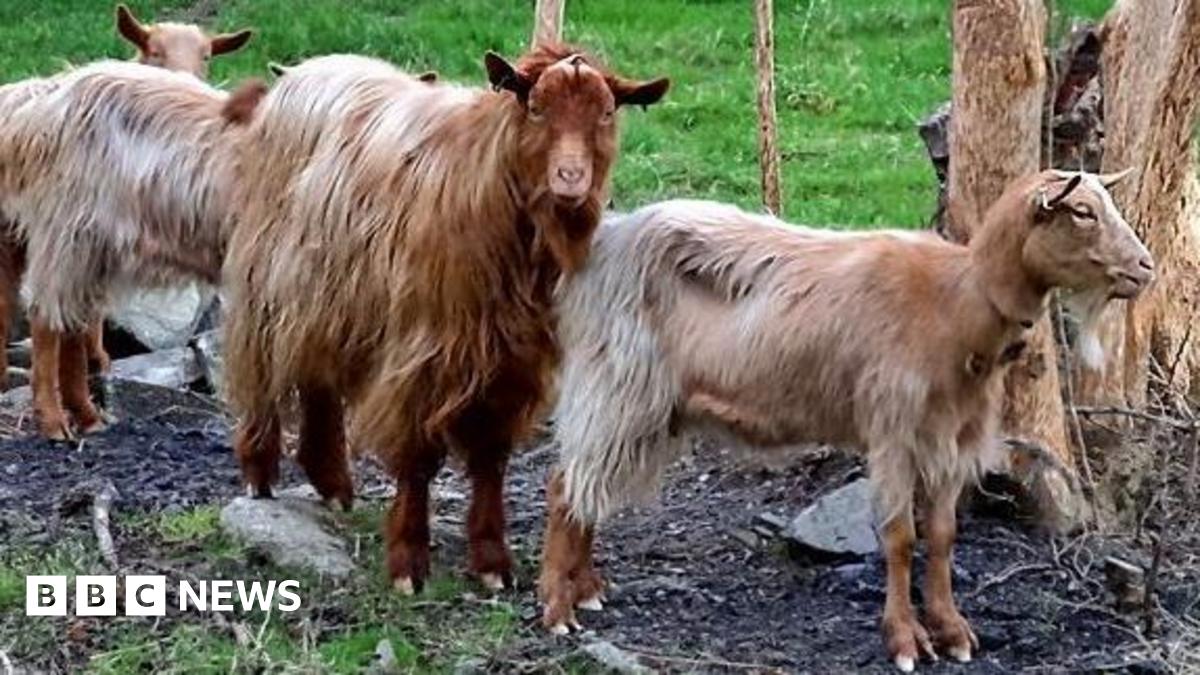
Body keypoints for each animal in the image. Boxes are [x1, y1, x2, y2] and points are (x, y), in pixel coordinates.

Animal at [0, 4, 253, 439]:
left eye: (207, 56)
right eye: (153, 50)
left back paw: (83, 413)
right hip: (66, 230)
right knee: (46, 319)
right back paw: (53, 420)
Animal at [222, 46, 668, 594]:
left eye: (606, 113)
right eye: (535, 108)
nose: (571, 180)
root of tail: (299, 74)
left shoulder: (511, 363)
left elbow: (491, 457)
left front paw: (492, 560)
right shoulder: (423, 352)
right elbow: (418, 457)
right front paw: (408, 562)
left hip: (330, 300)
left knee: (318, 378)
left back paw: (332, 482)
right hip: (265, 281)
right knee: (261, 368)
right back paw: (259, 471)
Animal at [538, 170, 1154, 671]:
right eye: (1083, 212)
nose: (1145, 267)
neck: (955, 301)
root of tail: (600, 242)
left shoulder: (952, 439)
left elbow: (944, 535)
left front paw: (952, 630)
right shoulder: (892, 433)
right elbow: (901, 538)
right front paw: (905, 639)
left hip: (641, 406)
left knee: (586, 492)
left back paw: (587, 589)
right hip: (617, 387)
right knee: (563, 486)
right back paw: (556, 608)